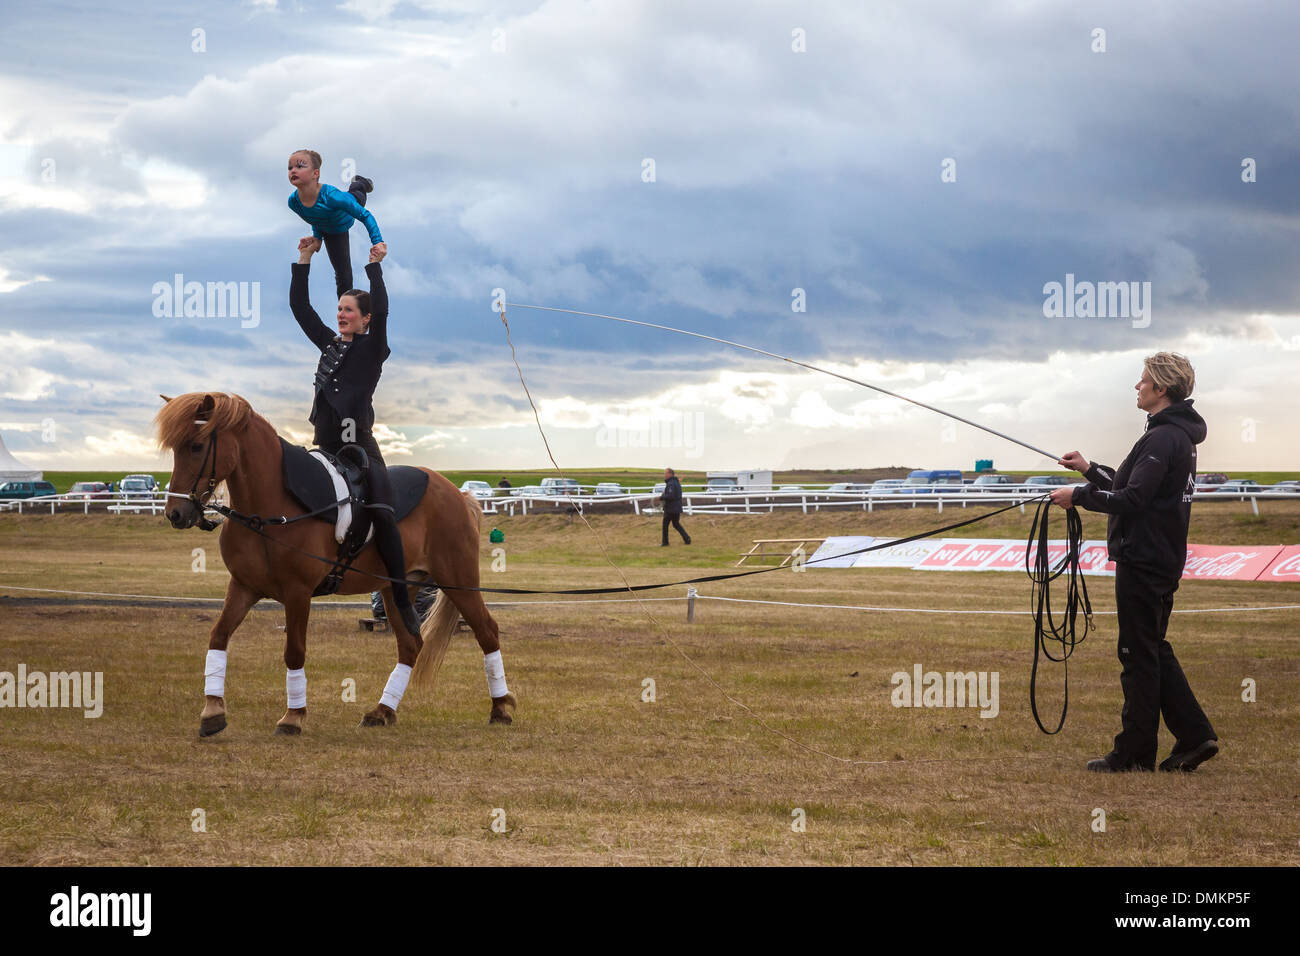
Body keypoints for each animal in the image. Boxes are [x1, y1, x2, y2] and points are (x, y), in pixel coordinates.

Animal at [155, 391, 516, 736]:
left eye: (197, 446)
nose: (176, 514)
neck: (268, 510)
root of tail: (458, 494)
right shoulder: (244, 587)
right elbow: (218, 637)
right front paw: (212, 711)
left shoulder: (297, 592)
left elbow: (294, 650)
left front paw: (293, 717)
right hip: (396, 590)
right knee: (410, 644)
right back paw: (382, 711)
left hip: (458, 580)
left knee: (486, 631)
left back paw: (500, 708)